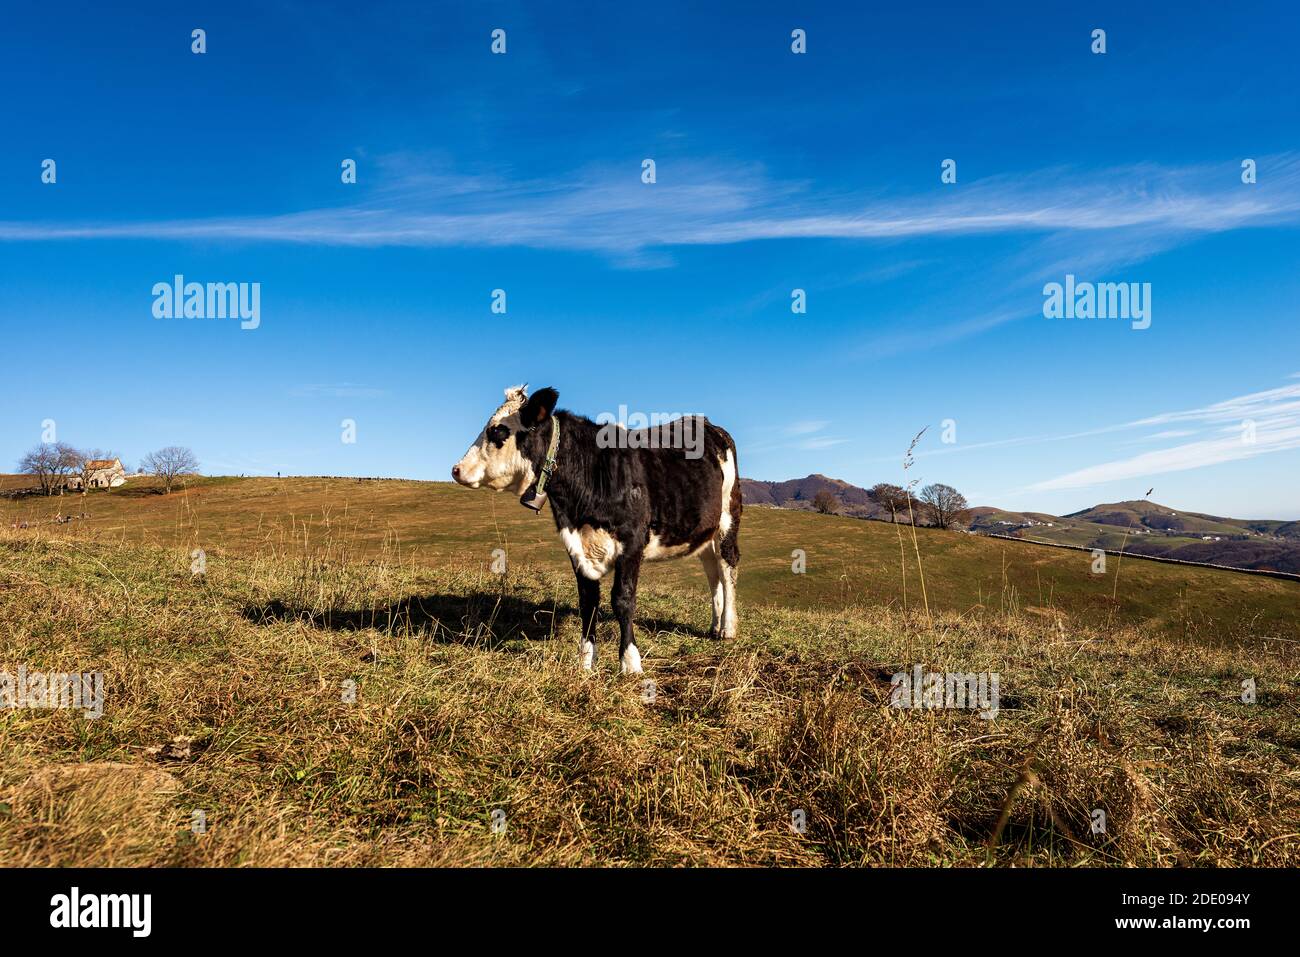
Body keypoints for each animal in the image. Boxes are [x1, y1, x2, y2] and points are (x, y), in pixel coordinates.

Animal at [452, 385, 741, 674]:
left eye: (498, 431)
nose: (456, 470)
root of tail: (705, 423)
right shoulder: (575, 544)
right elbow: (588, 601)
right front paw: (585, 661)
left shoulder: (632, 541)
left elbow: (623, 599)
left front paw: (630, 662)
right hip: (705, 530)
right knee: (712, 570)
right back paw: (714, 625)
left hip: (729, 515)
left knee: (727, 567)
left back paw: (727, 628)